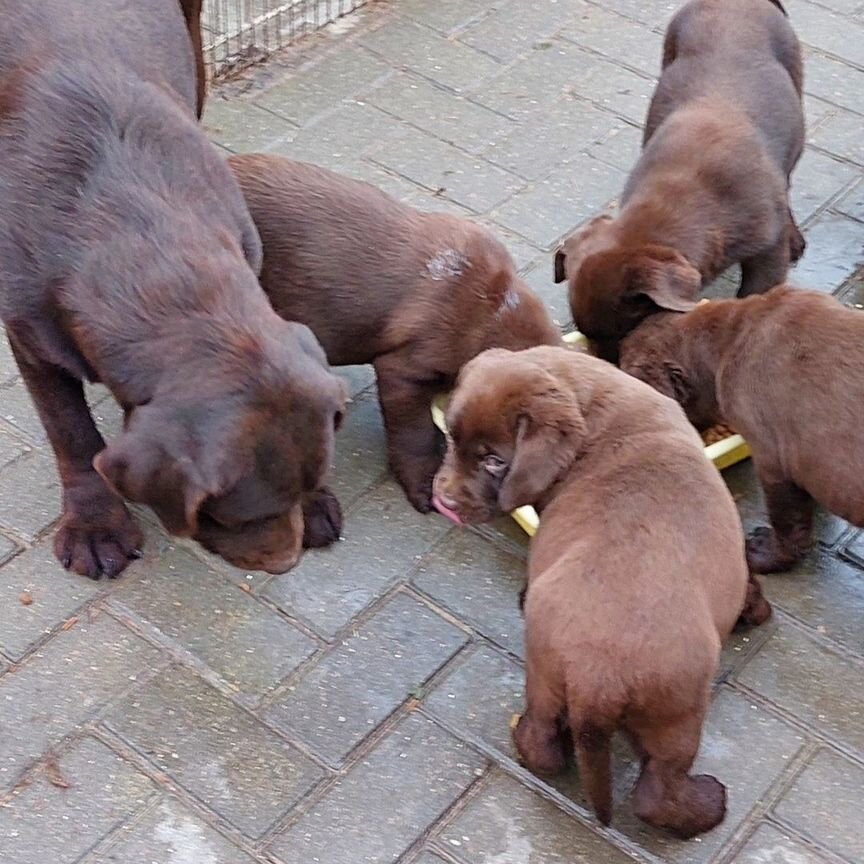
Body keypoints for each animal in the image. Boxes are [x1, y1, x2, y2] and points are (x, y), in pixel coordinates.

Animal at [436, 346, 768, 836]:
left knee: (544, 743)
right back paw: (709, 805)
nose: (443, 501)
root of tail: (599, 677)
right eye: (452, 440)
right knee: (656, 790)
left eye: (494, 460)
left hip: (546, 676)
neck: (595, 413)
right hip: (678, 716)